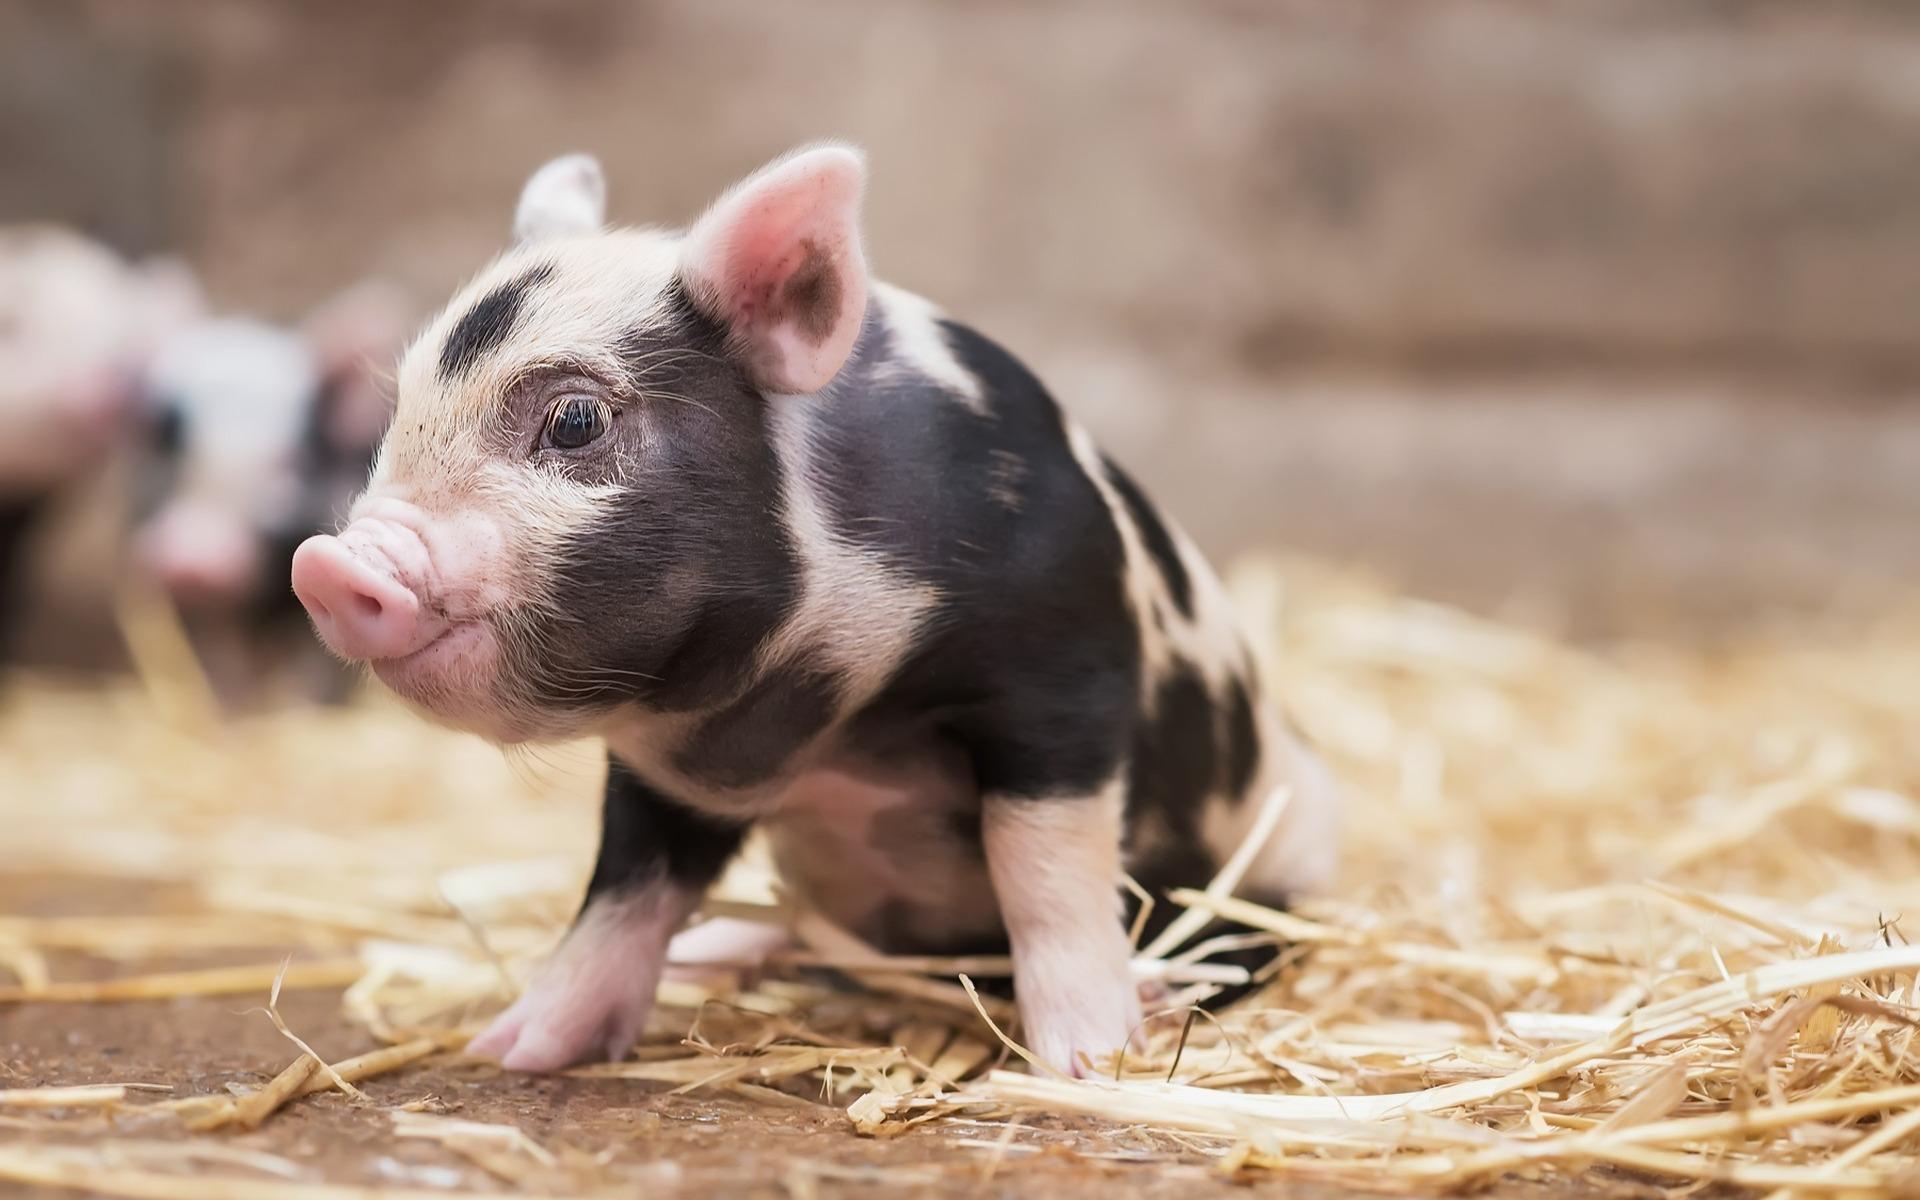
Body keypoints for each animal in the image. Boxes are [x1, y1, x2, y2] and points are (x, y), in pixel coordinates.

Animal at [291, 146, 1341, 1076]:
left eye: (576, 420)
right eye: (399, 413)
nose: (326, 565)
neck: (820, 718)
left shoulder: (1066, 664)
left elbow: (1048, 869)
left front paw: (1087, 1063)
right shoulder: (662, 773)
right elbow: (623, 893)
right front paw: (509, 1051)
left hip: (1280, 860)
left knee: (1246, 942)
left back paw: (1161, 991)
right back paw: (718, 951)